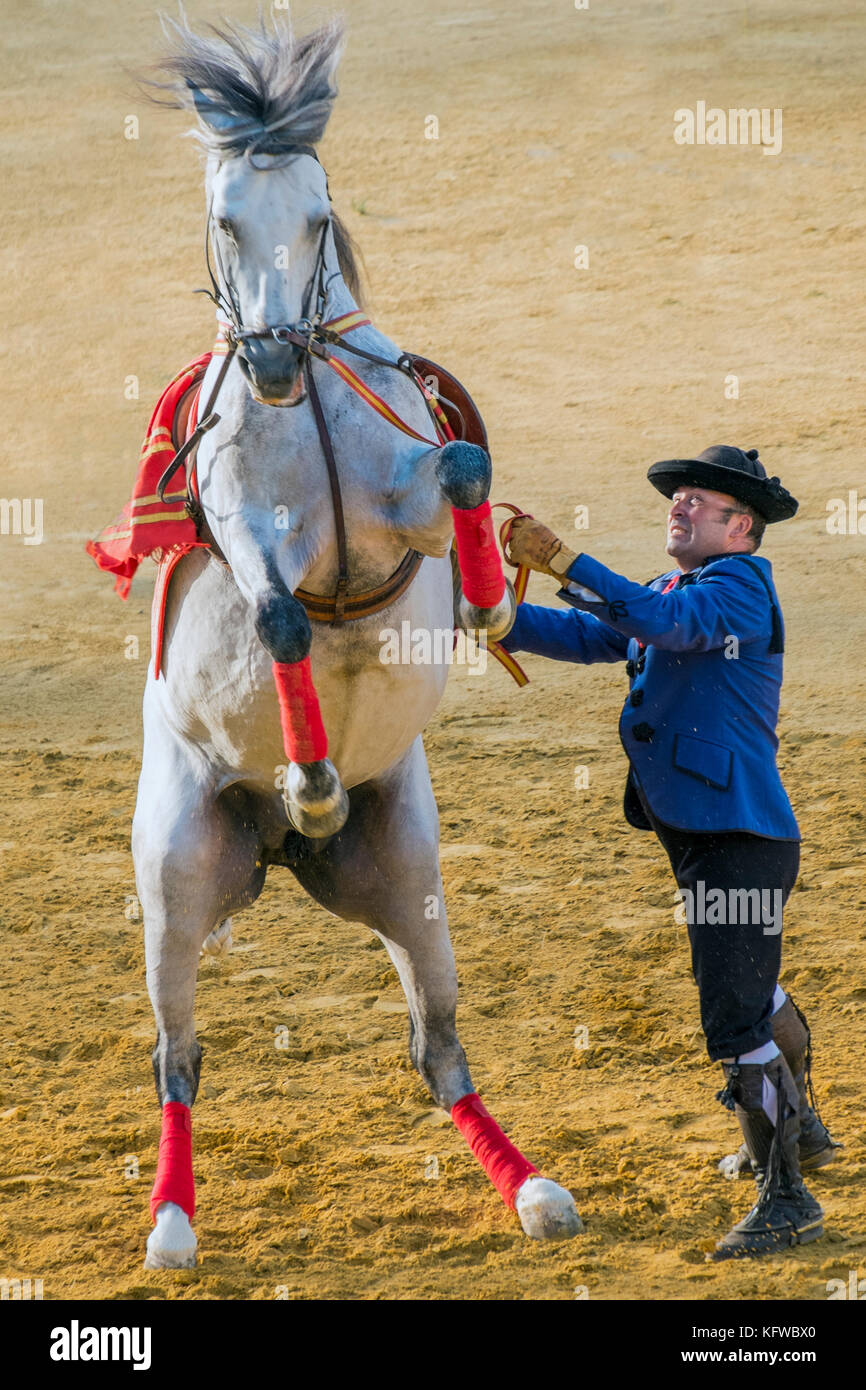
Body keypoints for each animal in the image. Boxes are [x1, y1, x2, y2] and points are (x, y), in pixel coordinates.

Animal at [130, 12, 581, 1268]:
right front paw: (314, 771)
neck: (316, 416)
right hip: (173, 875)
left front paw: (489, 598)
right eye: (224, 216)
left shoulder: (403, 504)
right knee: (178, 1056)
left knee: (437, 1047)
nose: (278, 360)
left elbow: (463, 467)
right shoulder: (250, 535)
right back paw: (172, 1223)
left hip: (411, 878)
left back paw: (530, 1189)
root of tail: (279, 856)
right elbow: (282, 610)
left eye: (317, 212)